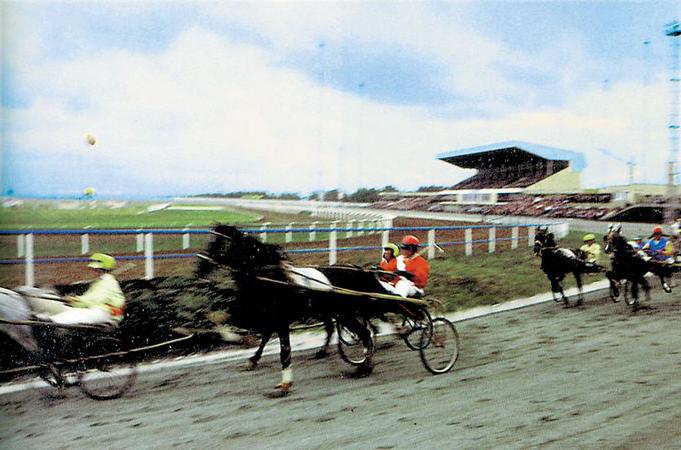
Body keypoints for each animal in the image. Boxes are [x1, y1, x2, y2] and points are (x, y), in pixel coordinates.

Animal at [195, 224, 382, 394]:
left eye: (216, 243)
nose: (200, 268)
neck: (271, 278)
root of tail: (358, 270)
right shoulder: (265, 316)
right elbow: (258, 335)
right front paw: (252, 359)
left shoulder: (276, 318)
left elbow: (283, 348)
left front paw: (285, 382)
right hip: (335, 312)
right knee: (348, 331)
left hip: (344, 313)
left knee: (364, 334)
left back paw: (363, 367)